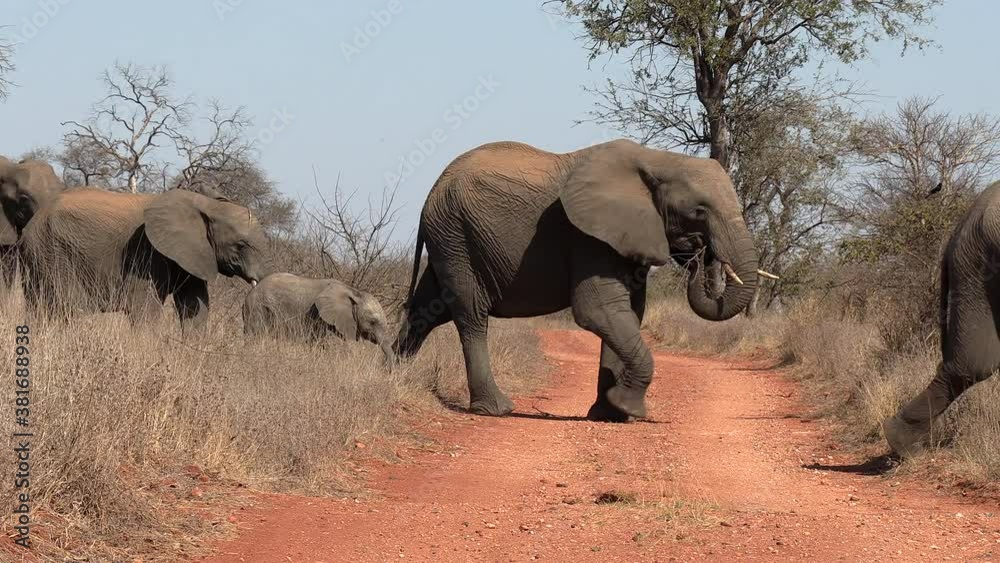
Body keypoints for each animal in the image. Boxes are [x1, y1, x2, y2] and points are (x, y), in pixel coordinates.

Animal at [17, 187, 270, 330]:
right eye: (240, 245)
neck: (206, 204)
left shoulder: (192, 252)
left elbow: (195, 306)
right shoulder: (145, 251)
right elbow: (145, 309)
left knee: (38, 309)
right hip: (52, 252)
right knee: (64, 308)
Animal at [393, 139, 761, 420]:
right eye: (699, 211)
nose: (698, 254)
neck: (656, 159)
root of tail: (431, 192)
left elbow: (629, 313)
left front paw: (611, 414)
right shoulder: (588, 237)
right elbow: (599, 311)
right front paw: (628, 409)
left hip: (449, 238)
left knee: (427, 310)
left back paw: (392, 374)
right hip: (456, 236)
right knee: (470, 315)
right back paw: (495, 409)